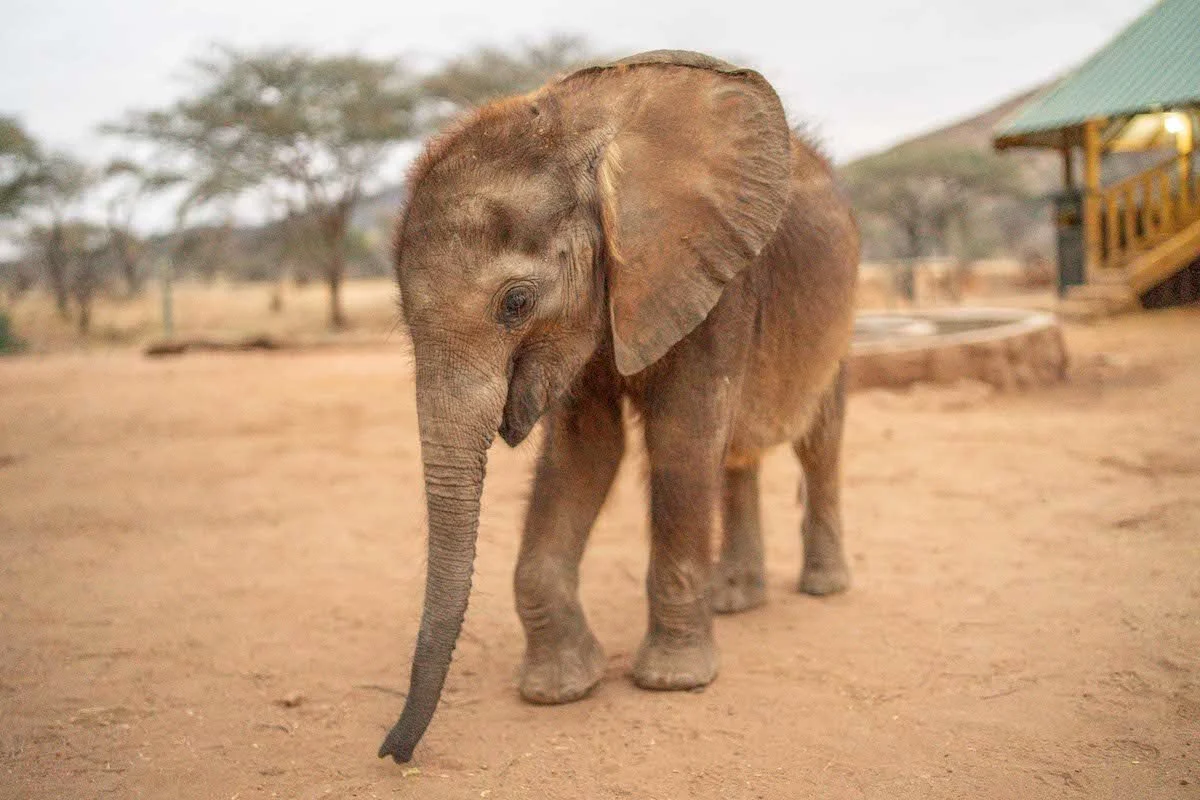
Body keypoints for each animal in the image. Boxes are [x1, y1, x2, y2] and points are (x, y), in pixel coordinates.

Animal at [378, 50, 859, 763]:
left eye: (516, 303)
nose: (393, 752)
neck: (580, 136)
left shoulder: (713, 276)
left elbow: (681, 439)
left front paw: (674, 682)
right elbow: (586, 447)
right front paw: (557, 691)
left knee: (817, 438)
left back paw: (823, 589)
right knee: (737, 454)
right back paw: (735, 600)